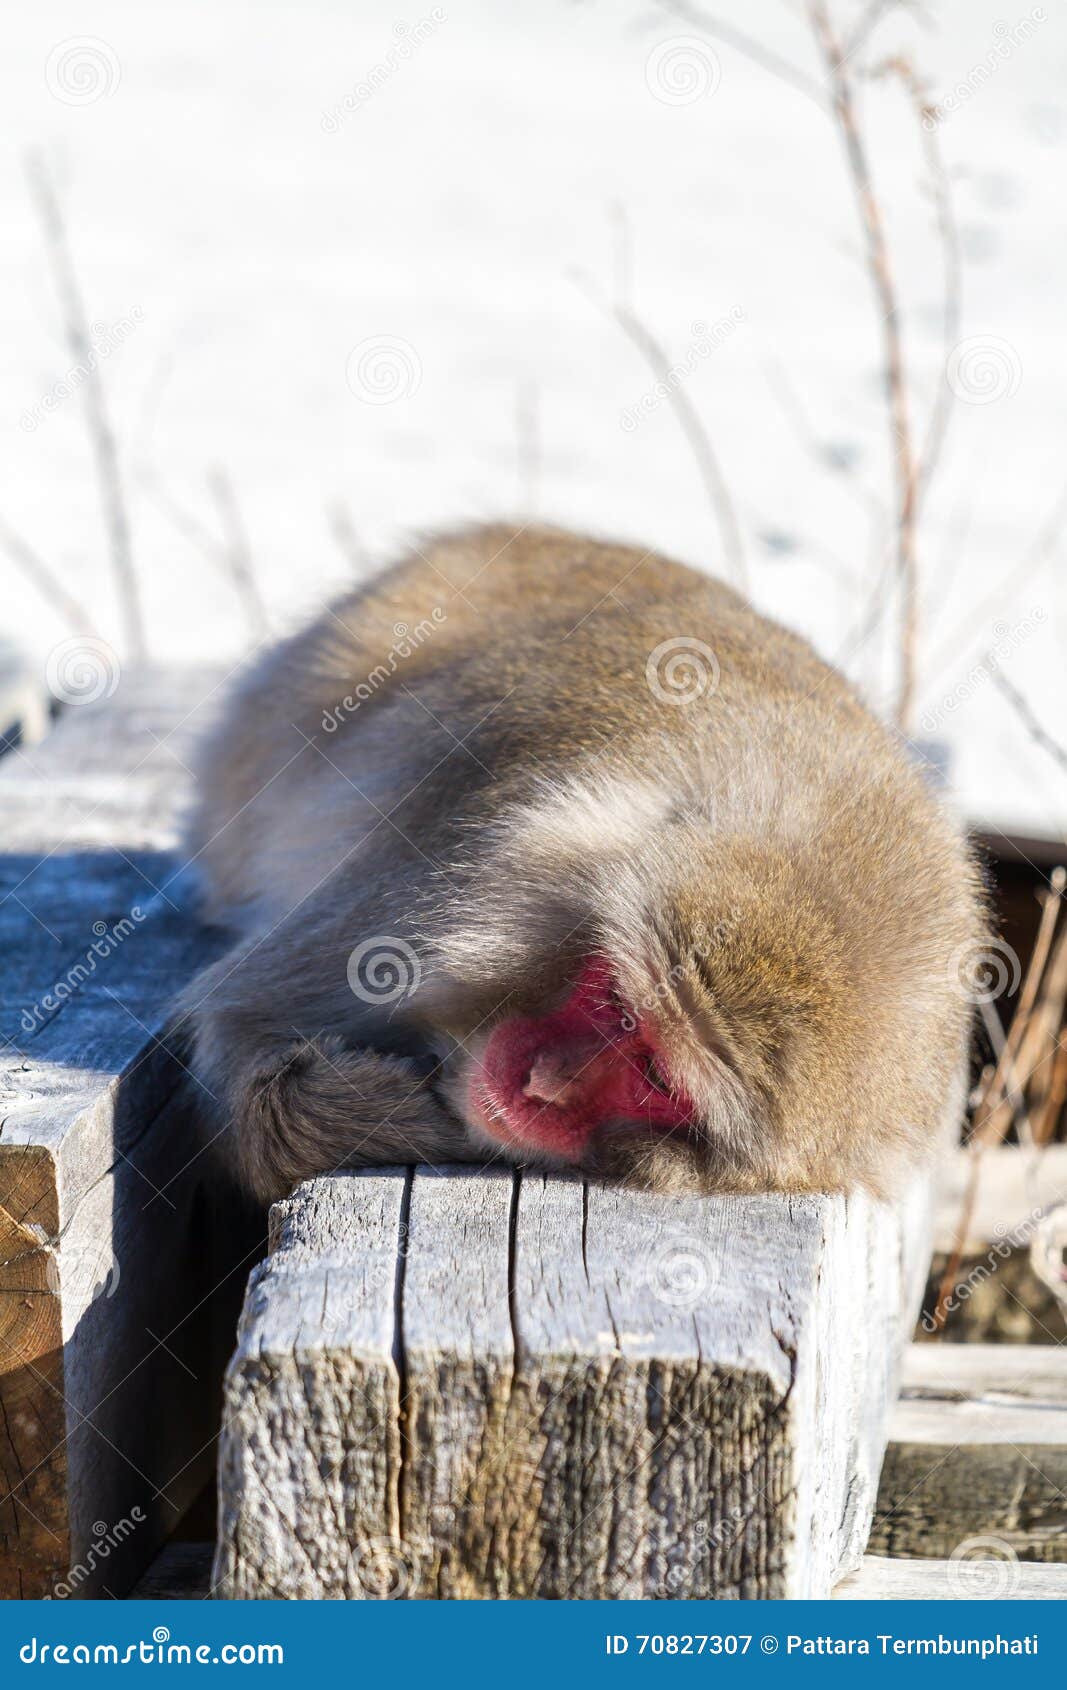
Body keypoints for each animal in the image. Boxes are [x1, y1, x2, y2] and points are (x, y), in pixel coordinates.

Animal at [175, 522, 984, 1205]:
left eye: (655, 1074)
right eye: (616, 1006)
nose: (546, 1084)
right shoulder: (452, 881)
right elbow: (236, 1019)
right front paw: (371, 1114)